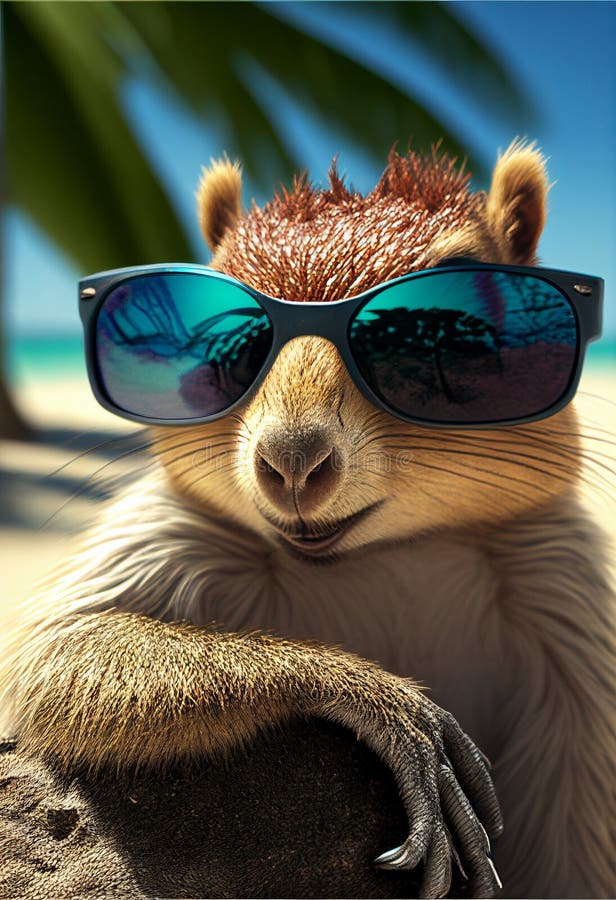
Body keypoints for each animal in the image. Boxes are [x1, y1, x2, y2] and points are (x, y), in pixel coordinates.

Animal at [1, 141, 614, 899]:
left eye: (443, 334)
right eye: (231, 345)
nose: (292, 460)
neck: (376, 556)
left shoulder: (565, 598)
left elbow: (575, 835)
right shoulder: (166, 536)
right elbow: (59, 657)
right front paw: (393, 711)